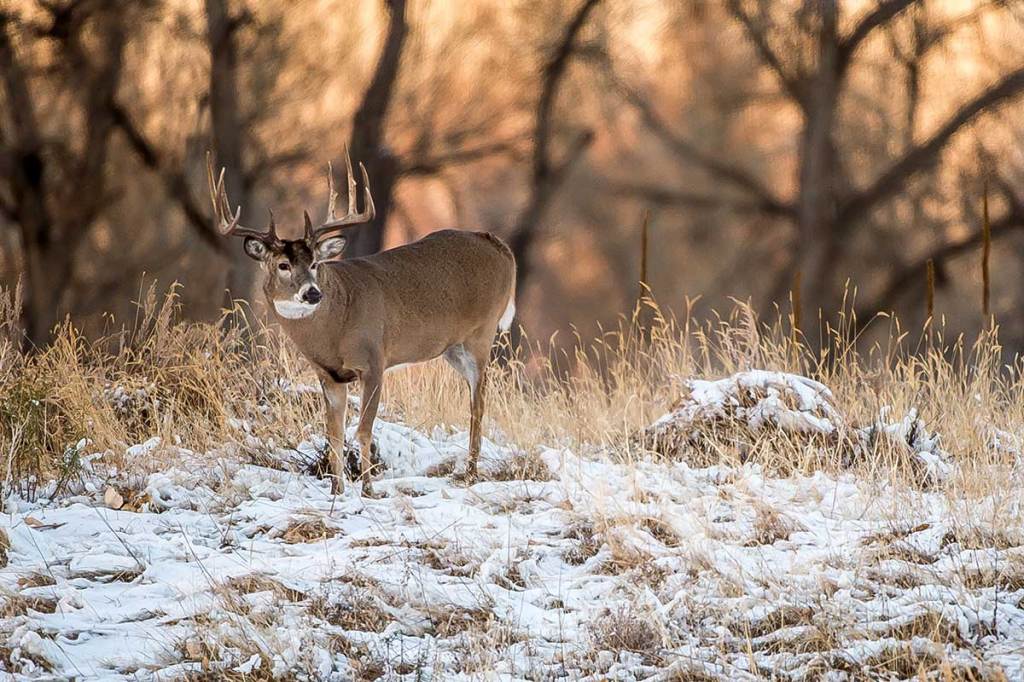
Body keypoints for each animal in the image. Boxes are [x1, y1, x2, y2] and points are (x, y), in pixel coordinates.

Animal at [206, 151, 516, 496]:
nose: (312, 292)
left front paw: (368, 488)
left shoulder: (374, 360)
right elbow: (334, 434)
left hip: (482, 333)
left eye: (315, 263)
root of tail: (499, 245)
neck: (336, 327)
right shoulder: (328, 375)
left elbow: (364, 430)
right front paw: (336, 489)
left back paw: (470, 474)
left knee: (478, 404)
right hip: (452, 347)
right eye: (283, 265)